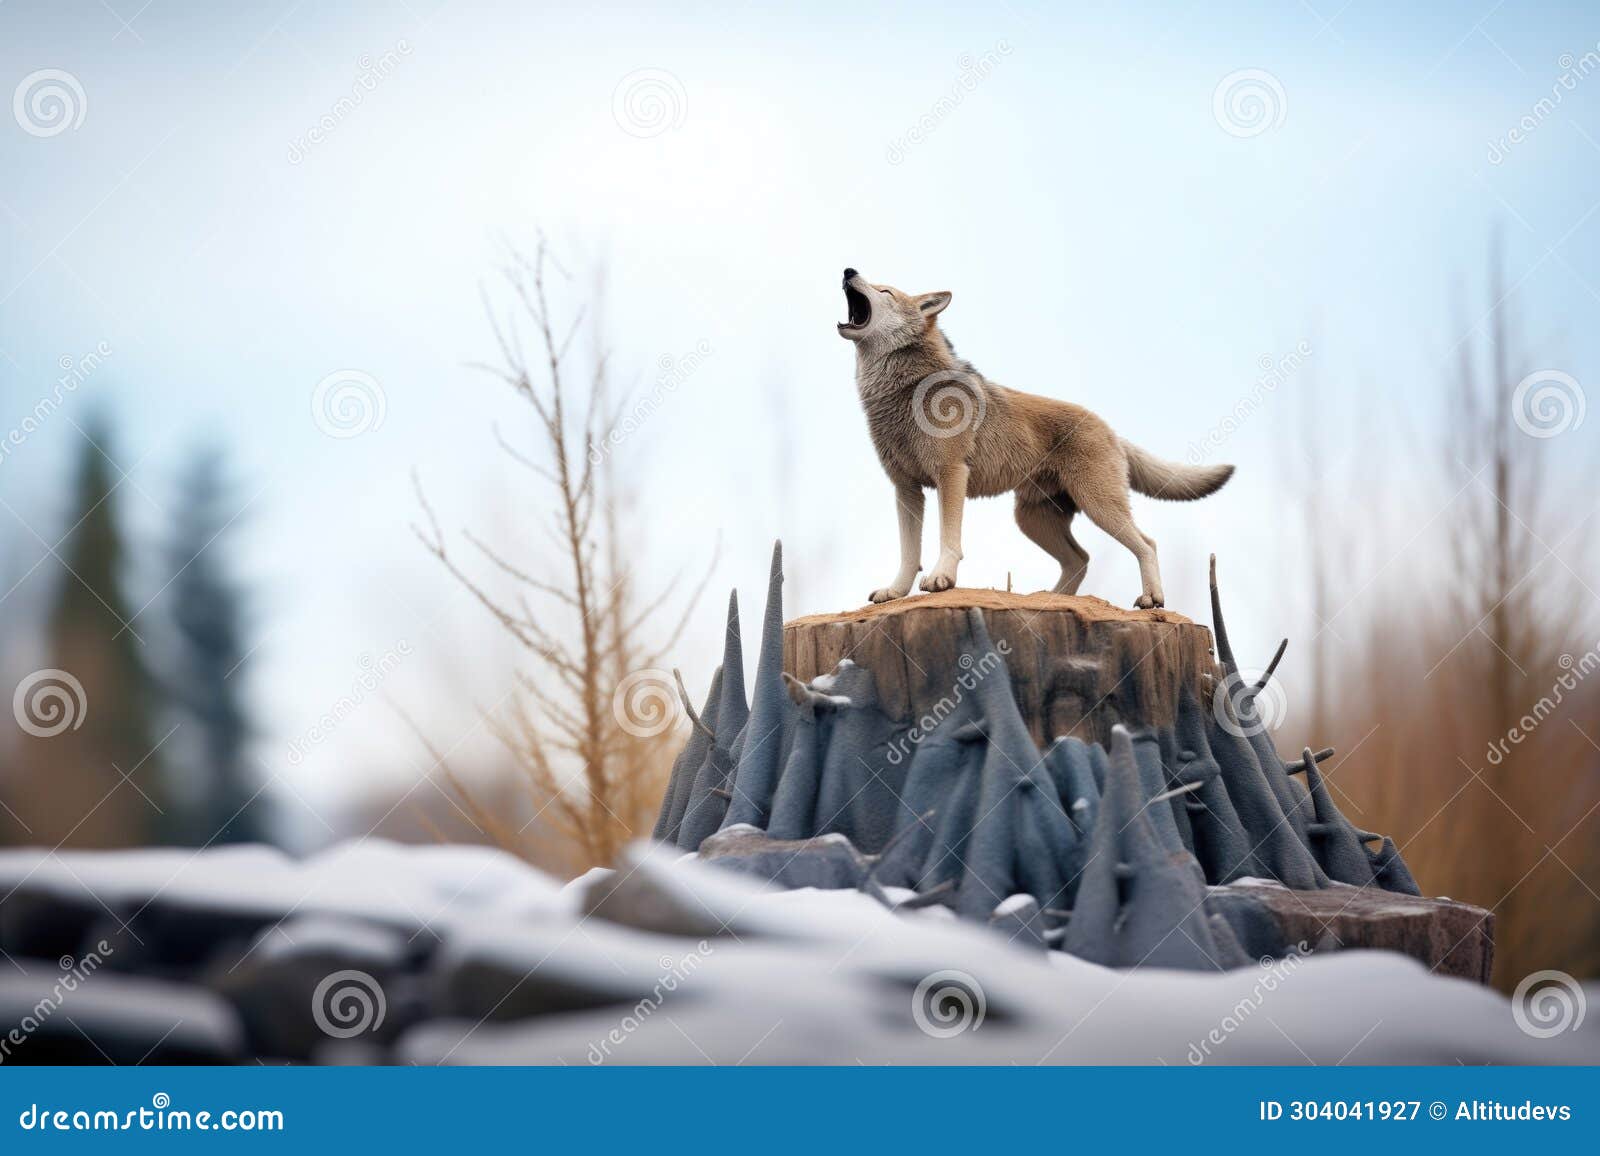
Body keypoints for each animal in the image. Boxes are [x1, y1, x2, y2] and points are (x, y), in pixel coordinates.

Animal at [837, 269, 1233, 609]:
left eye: (885, 291)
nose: (848, 270)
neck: (902, 392)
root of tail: (1110, 430)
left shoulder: (950, 476)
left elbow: (948, 539)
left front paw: (941, 579)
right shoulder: (905, 488)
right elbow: (908, 553)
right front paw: (894, 592)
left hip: (1098, 507)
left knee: (1146, 544)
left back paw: (1152, 599)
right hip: (1031, 519)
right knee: (1080, 559)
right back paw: (1048, 600)